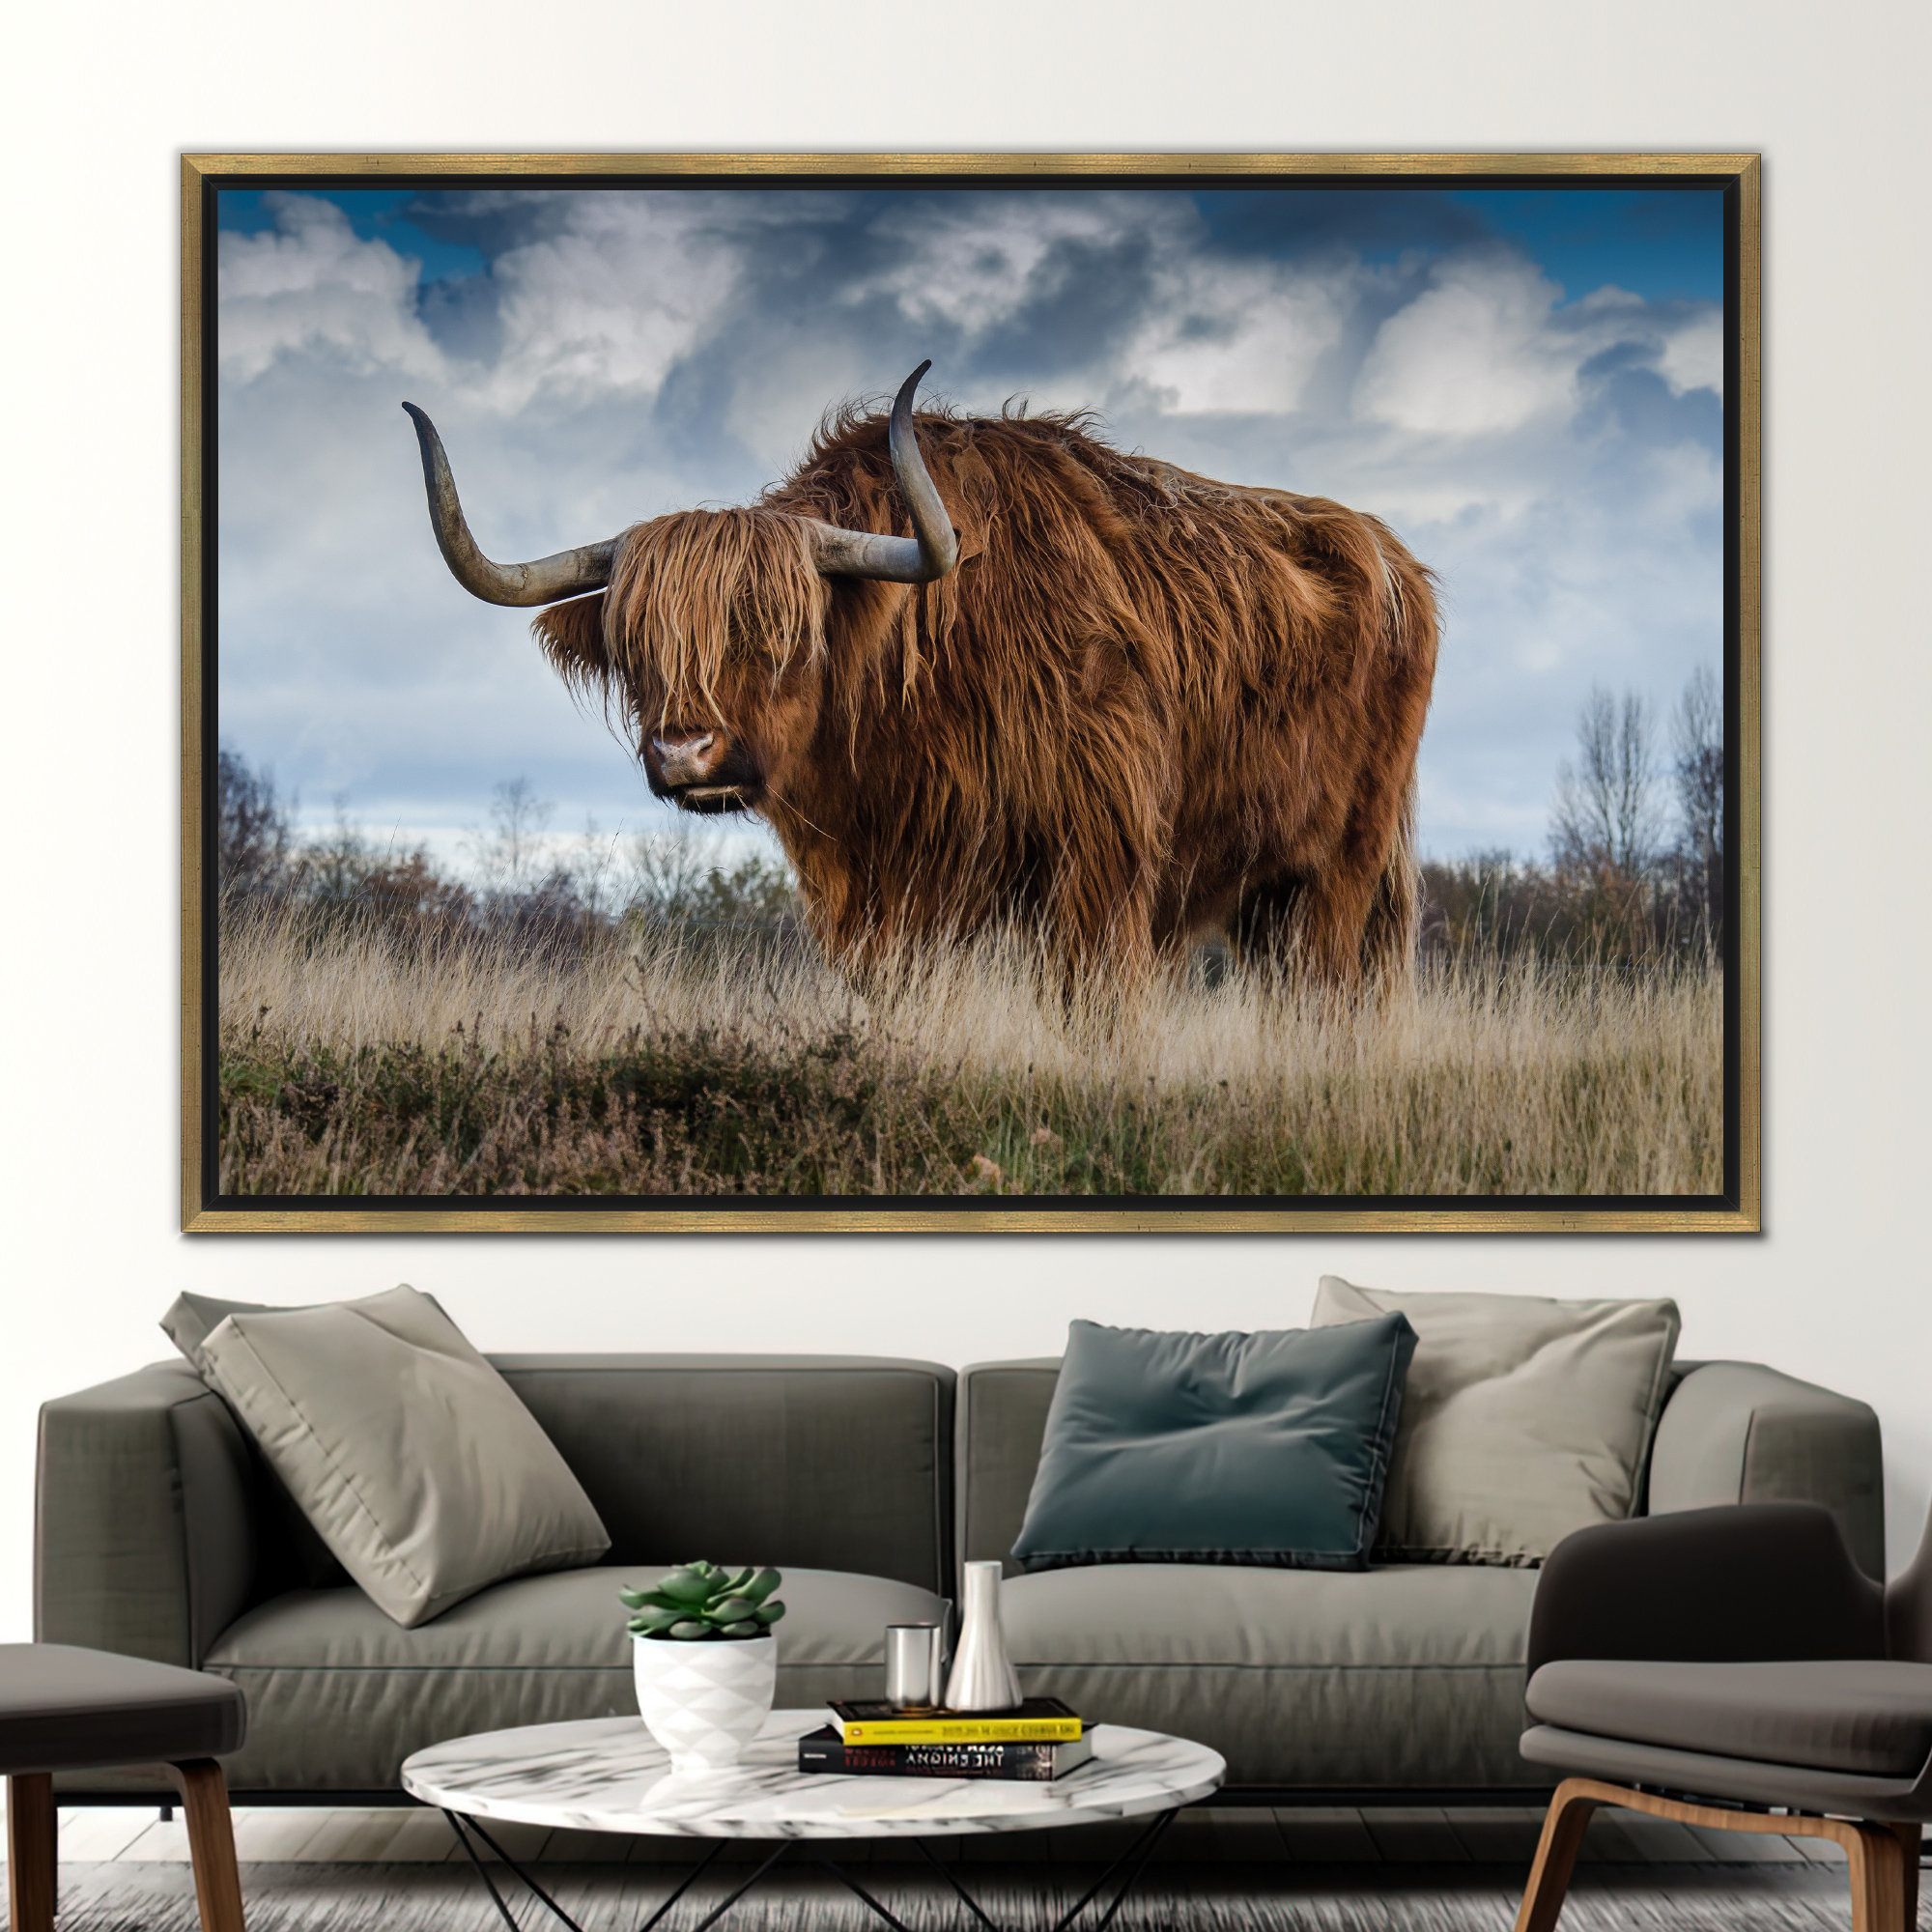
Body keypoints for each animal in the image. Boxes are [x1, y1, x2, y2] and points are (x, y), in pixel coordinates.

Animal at [403, 363, 1439, 990]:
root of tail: (1394, 558)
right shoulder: (880, 889)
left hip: (1342, 867)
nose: (685, 752)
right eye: (637, 646)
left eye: (782, 632)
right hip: (1269, 891)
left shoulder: (1100, 858)